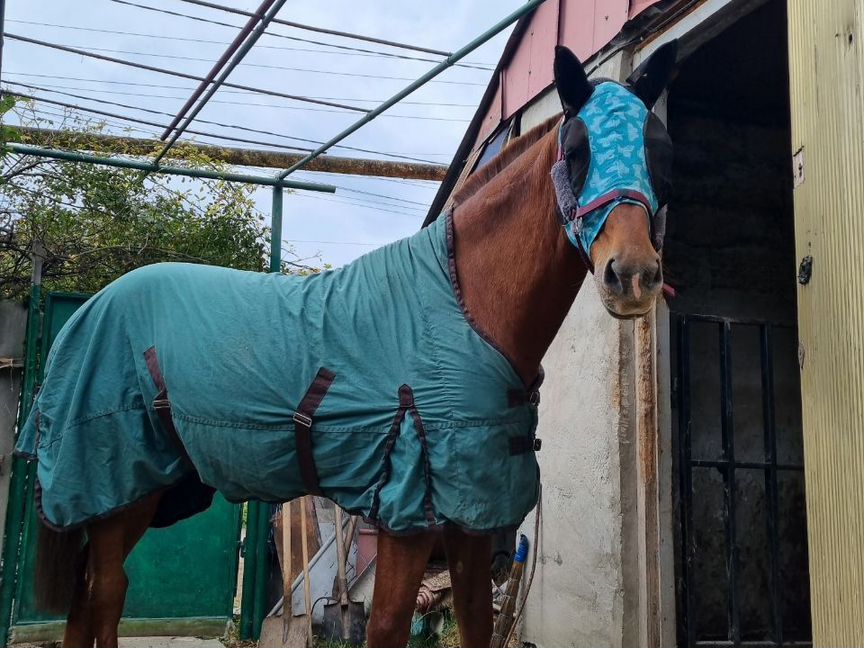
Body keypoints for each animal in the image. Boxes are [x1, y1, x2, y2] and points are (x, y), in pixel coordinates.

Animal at [17, 43, 677, 648]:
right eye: (577, 150)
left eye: (659, 151)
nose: (633, 276)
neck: (464, 308)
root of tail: (88, 312)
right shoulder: (408, 518)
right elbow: (385, 627)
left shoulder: (470, 515)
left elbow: (474, 623)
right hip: (117, 488)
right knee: (105, 593)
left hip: (139, 489)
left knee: (94, 598)